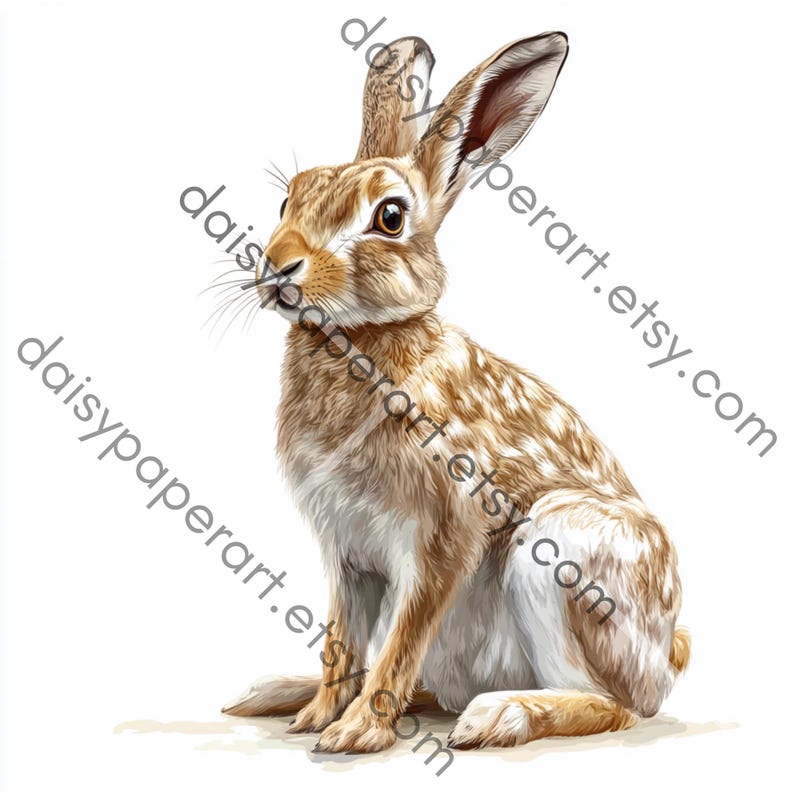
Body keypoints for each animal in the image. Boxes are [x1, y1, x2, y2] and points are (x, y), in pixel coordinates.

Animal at [222, 32, 690, 753]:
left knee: (610, 705)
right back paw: (272, 692)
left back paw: (498, 716)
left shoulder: (443, 535)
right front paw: (320, 717)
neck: (365, 341)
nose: (277, 267)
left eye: (390, 216)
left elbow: (400, 641)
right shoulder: (346, 555)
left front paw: (354, 734)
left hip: (559, 554)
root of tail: (669, 653)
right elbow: (341, 643)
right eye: (287, 201)